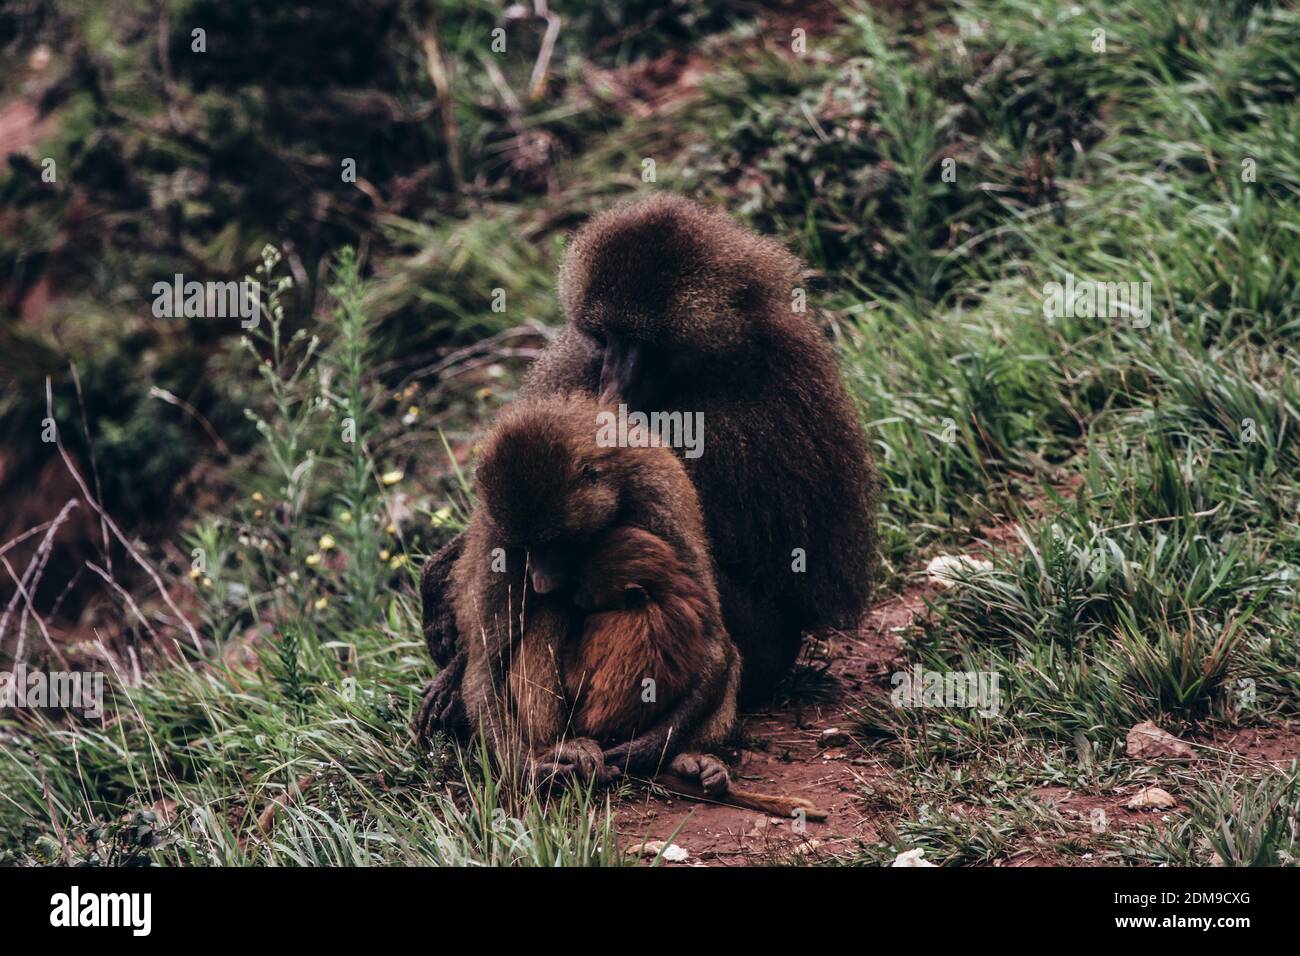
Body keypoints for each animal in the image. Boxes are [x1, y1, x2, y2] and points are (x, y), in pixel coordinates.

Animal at [450, 393, 740, 791]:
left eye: (557, 543)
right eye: (526, 547)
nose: (541, 581)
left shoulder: (656, 494)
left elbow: (712, 634)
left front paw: (645, 748)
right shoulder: (497, 535)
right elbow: (485, 665)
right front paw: (530, 768)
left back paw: (692, 759)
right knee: (549, 613)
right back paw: (563, 748)